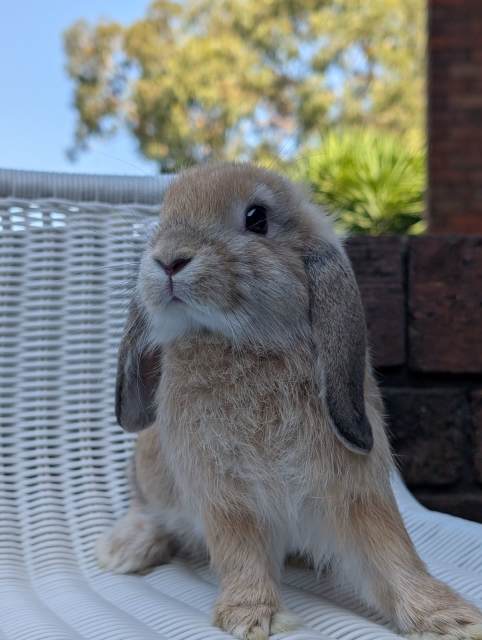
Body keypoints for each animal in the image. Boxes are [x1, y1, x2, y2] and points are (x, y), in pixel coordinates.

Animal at [96, 162, 482, 640]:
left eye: (256, 218)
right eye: (164, 216)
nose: (168, 259)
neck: (244, 345)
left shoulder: (355, 491)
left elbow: (393, 555)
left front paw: (450, 619)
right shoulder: (226, 496)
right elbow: (240, 555)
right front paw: (249, 617)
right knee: (148, 510)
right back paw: (125, 549)